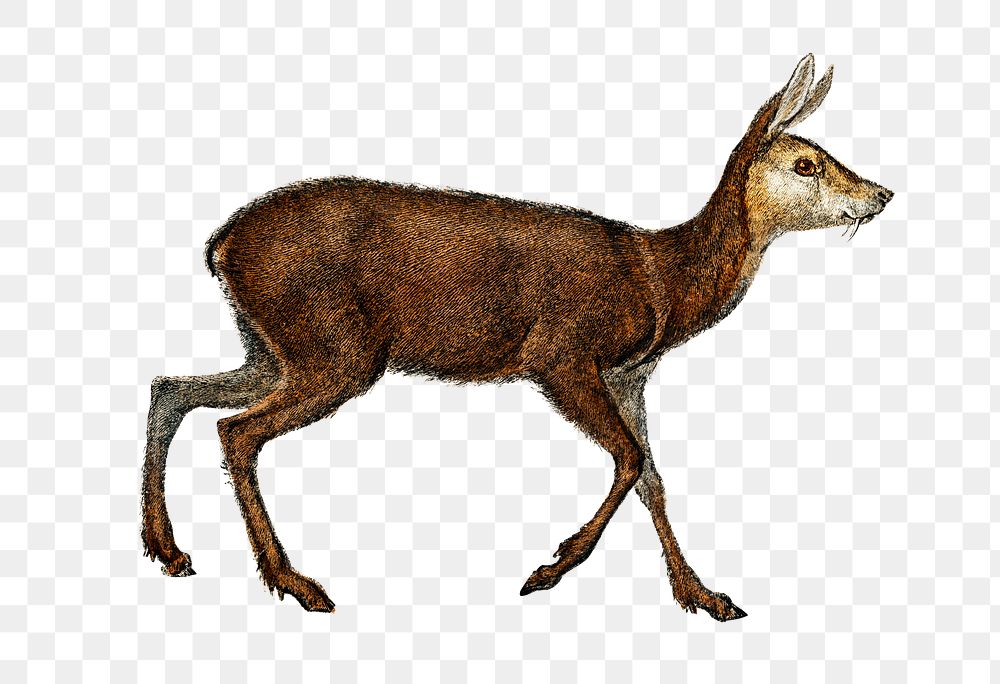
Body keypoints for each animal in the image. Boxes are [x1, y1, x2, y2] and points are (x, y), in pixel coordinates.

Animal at [141, 54, 892, 620]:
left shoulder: (628, 376)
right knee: (237, 430)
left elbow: (653, 478)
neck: (663, 282)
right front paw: (550, 567)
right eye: (806, 164)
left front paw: (704, 596)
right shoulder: (560, 354)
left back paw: (169, 551)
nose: (881, 194)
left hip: (277, 346)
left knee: (172, 388)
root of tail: (221, 245)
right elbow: (628, 460)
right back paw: (294, 582)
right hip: (335, 348)